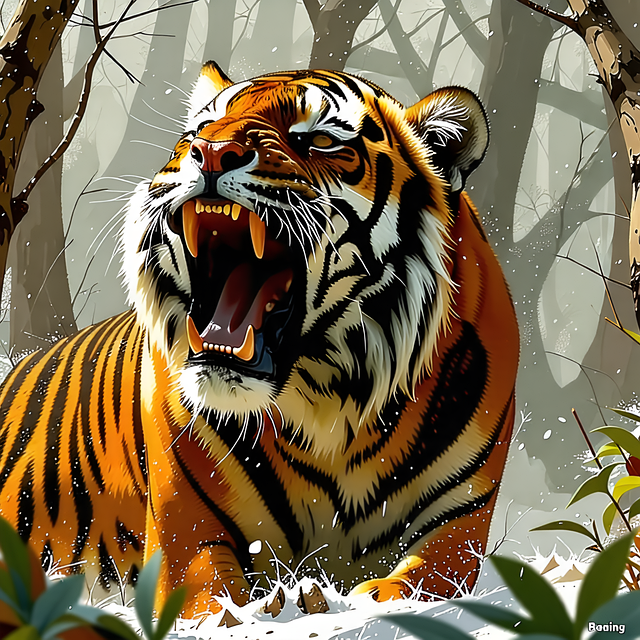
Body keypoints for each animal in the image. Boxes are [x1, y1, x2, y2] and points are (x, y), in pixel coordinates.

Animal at [0, 62, 518, 617]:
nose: (210, 152)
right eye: (197, 132)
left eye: (317, 139)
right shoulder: (189, 530)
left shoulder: (456, 530)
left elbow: (411, 588)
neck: (332, 411)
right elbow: (214, 602)